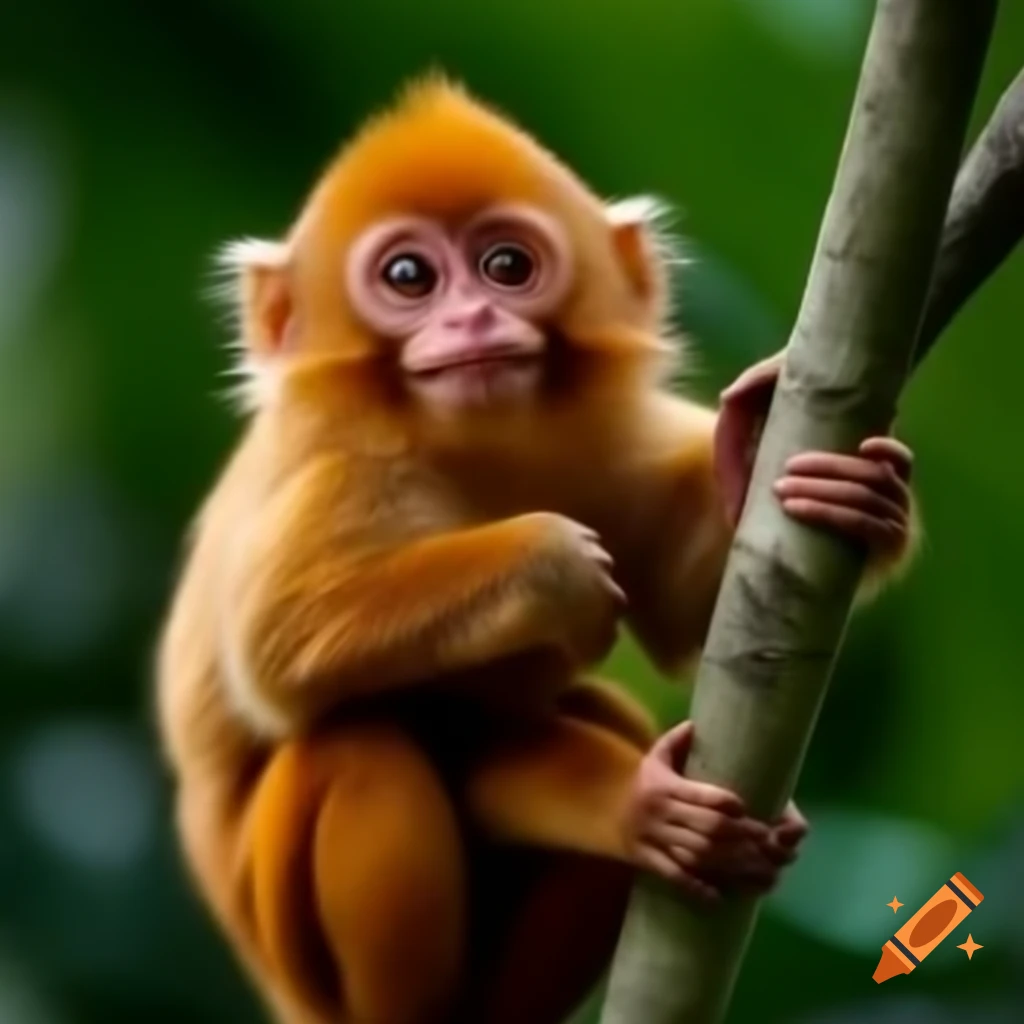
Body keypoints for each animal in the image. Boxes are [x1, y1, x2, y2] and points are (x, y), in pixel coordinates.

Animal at [157, 77, 917, 1024]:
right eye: (408, 277)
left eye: (507, 266)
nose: (474, 316)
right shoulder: (338, 471)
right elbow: (277, 654)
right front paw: (560, 586)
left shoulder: (609, 443)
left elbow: (688, 622)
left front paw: (789, 464)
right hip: (294, 959)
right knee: (356, 743)